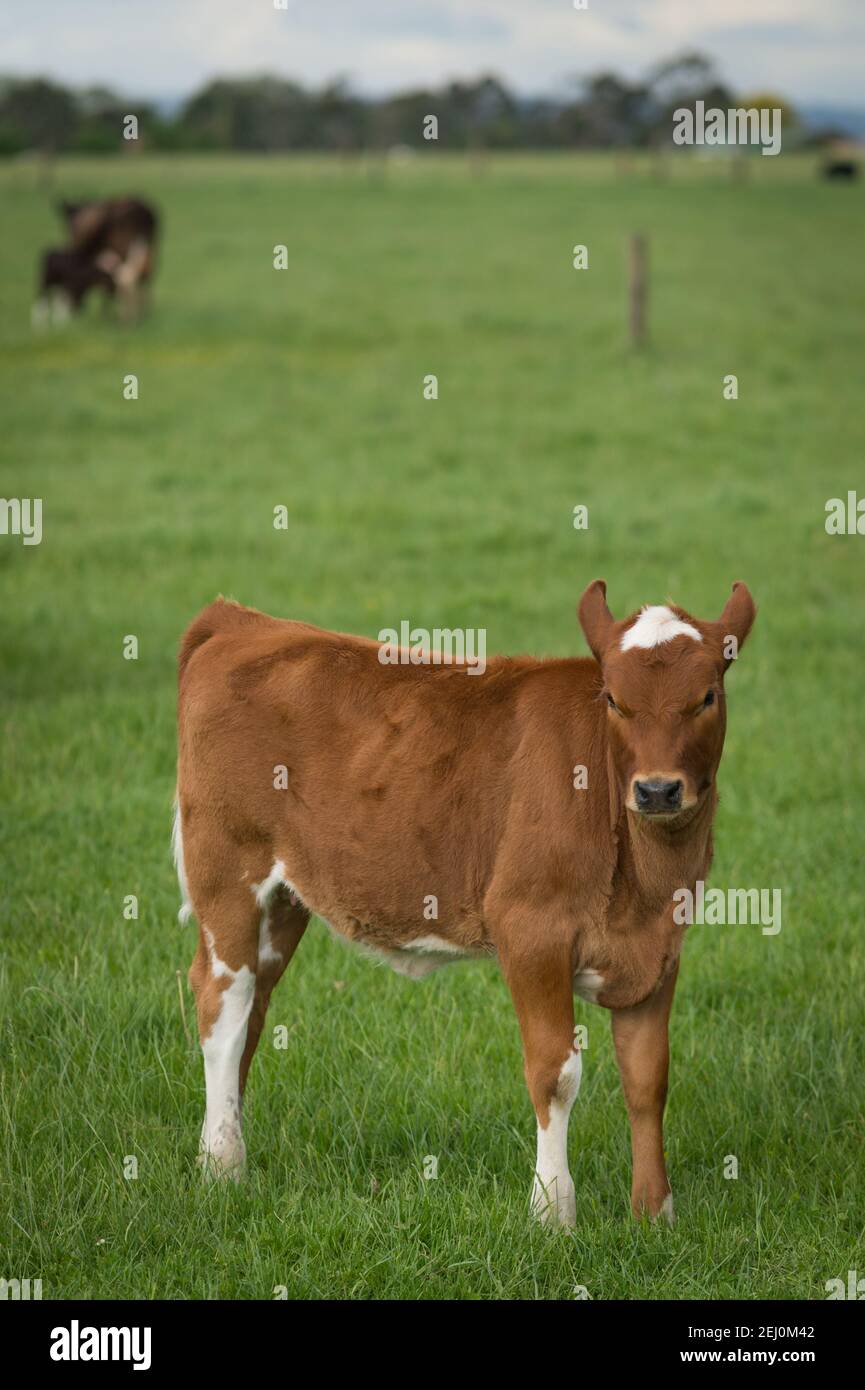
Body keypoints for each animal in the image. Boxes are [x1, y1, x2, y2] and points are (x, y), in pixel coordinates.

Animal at [174, 579, 755, 1227]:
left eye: (707, 696)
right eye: (613, 699)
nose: (657, 790)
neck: (645, 885)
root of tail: (243, 621)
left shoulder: (661, 951)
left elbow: (648, 1078)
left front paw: (654, 1213)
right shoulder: (530, 930)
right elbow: (555, 1073)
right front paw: (552, 1210)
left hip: (283, 899)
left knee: (253, 1009)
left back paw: (222, 1142)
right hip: (228, 873)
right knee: (223, 1006)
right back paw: (223, 1166)